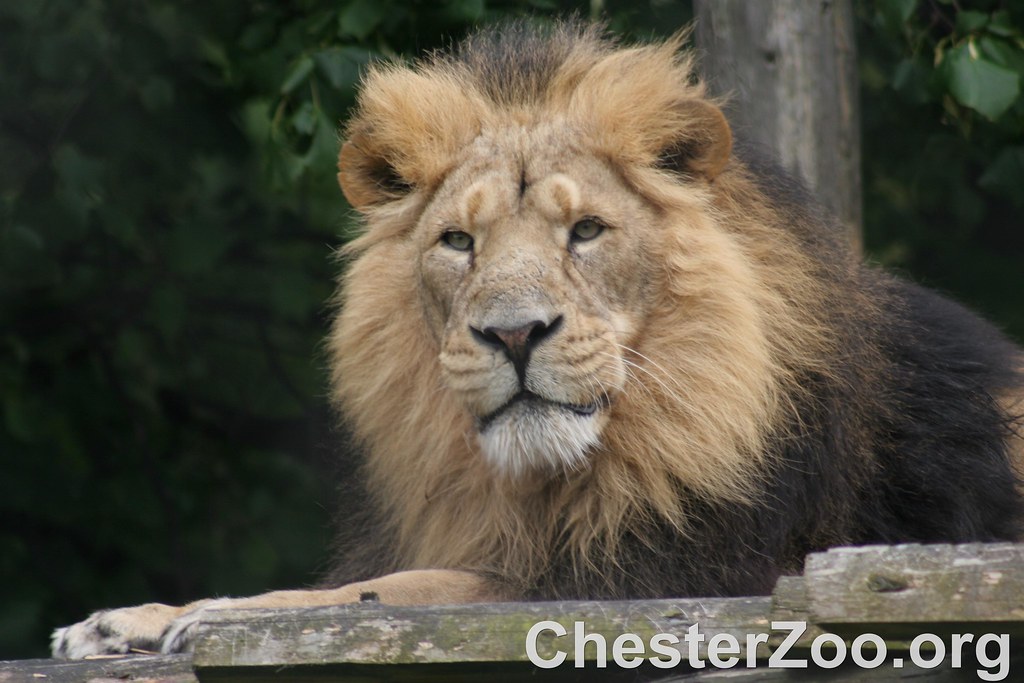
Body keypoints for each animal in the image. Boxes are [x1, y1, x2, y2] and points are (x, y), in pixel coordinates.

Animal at [52, 21, 1024, 659]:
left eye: (586, 231)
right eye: (458, 241)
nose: (514, 332)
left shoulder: (676, 575)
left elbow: (388, 594)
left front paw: (217, 616)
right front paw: (123, 620)